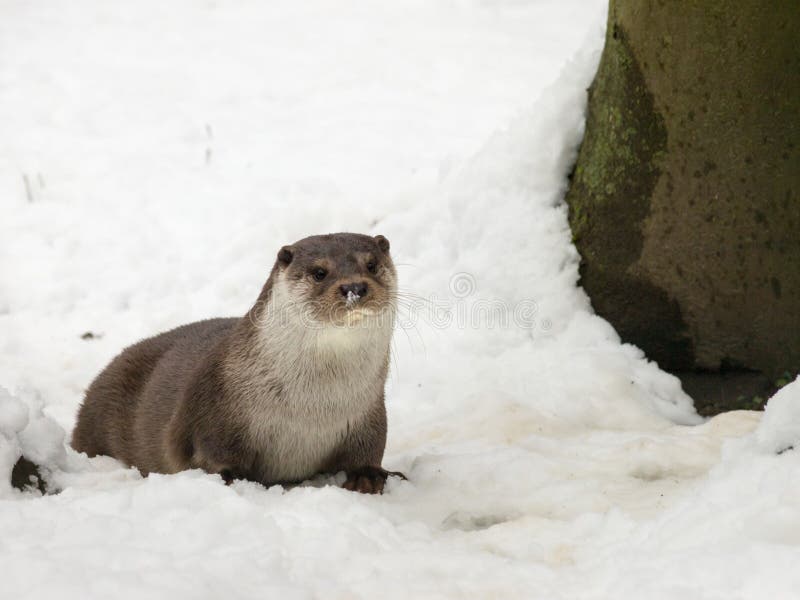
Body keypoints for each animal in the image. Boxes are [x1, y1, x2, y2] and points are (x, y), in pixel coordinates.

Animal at [71, 233, 402, 493]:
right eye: (320, 272)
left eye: (371, 264)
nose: (354, 288)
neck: (312, 409)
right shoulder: (214, 407)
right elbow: (207, 452)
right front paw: (231, 477)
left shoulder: (368, 412)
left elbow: (370, 448)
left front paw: (368, 476)